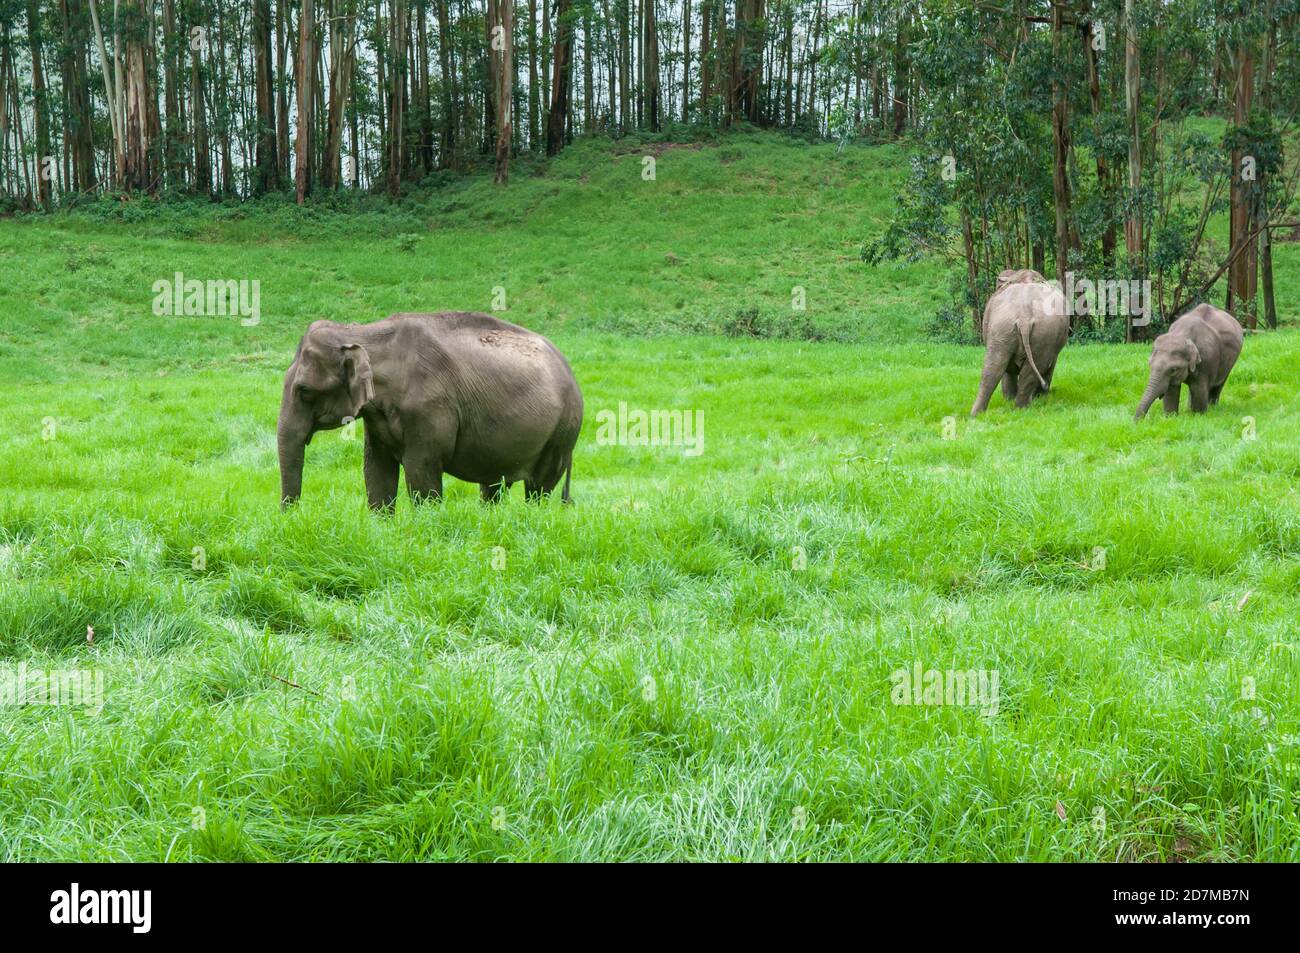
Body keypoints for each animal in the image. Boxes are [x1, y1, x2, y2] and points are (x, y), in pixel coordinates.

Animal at [277, 312, 583, 510]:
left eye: (304, 390)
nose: (293, 517)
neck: (363, 332)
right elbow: (376, 469)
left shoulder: (430, 408)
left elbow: (421, 470)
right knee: (493, 486)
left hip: (562, 430)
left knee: (539, 487)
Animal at [970, 269, 1069, 416]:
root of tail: (1024, 314)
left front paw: (1009, 399)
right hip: (1033, 332)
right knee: (1007, 369)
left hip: (1007, 330)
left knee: (997, 368)